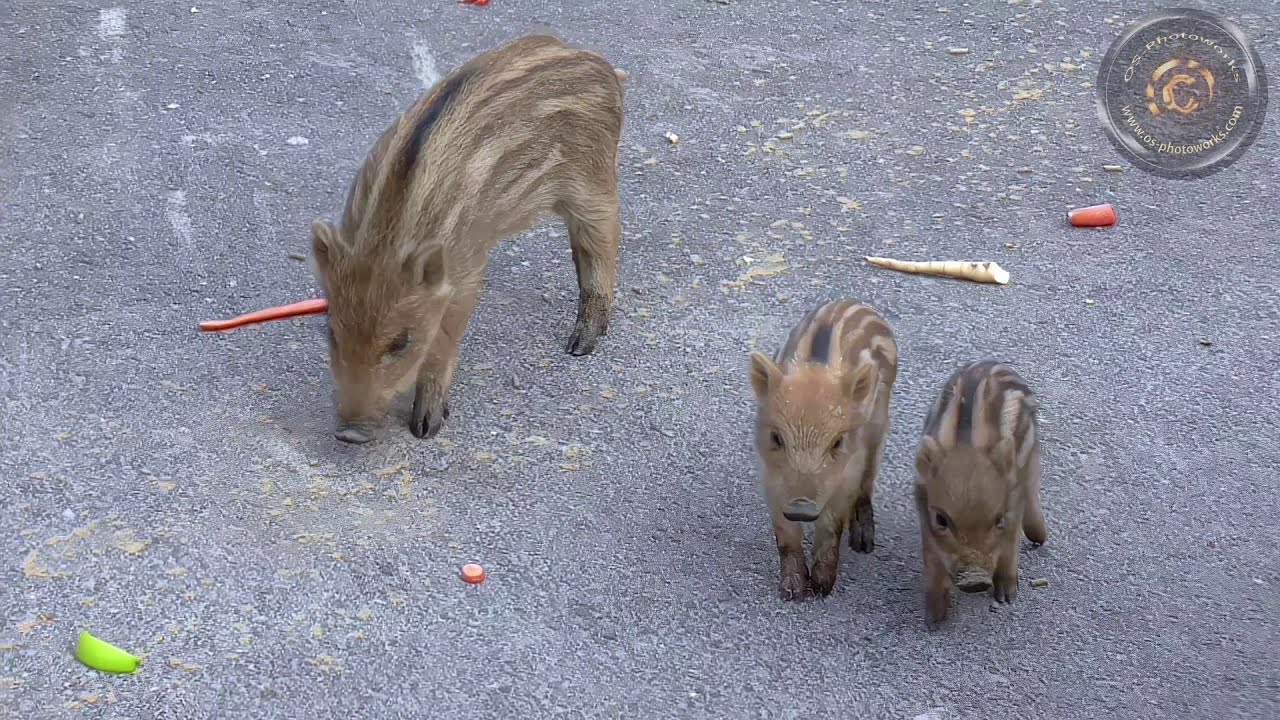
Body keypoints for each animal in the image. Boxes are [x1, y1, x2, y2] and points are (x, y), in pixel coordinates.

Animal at [309, 34, 628, 444]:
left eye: (401, 342)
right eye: (331, 331)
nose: (349, 433)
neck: (388, 237)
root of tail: (596, 61)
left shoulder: (467, 268)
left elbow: (444, 339)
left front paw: (426, 426)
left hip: (593, 183)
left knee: (602, 243)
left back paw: (580, 345)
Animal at [749, 300, 899, 600]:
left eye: (837, 442)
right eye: (776, 438)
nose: (801, 507)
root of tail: (854, 302)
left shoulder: (848, 471)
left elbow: (832, 526)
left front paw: (821, 589)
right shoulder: (770, 478)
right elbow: (785, 536)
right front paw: (792, 592)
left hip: (878, 426)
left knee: (869, 480)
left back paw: (863, 543)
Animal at [912, 359, 1048, 625]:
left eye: (998, 520)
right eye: (941, 519)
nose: (975, 581)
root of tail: (994, 363)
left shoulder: (1013, 505)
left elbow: (1010, 547)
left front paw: (1007, 597)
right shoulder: (924, 516)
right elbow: (932, 560)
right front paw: (934, 618)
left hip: (1033, 455)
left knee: (1032, 491)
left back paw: (1040, 537)